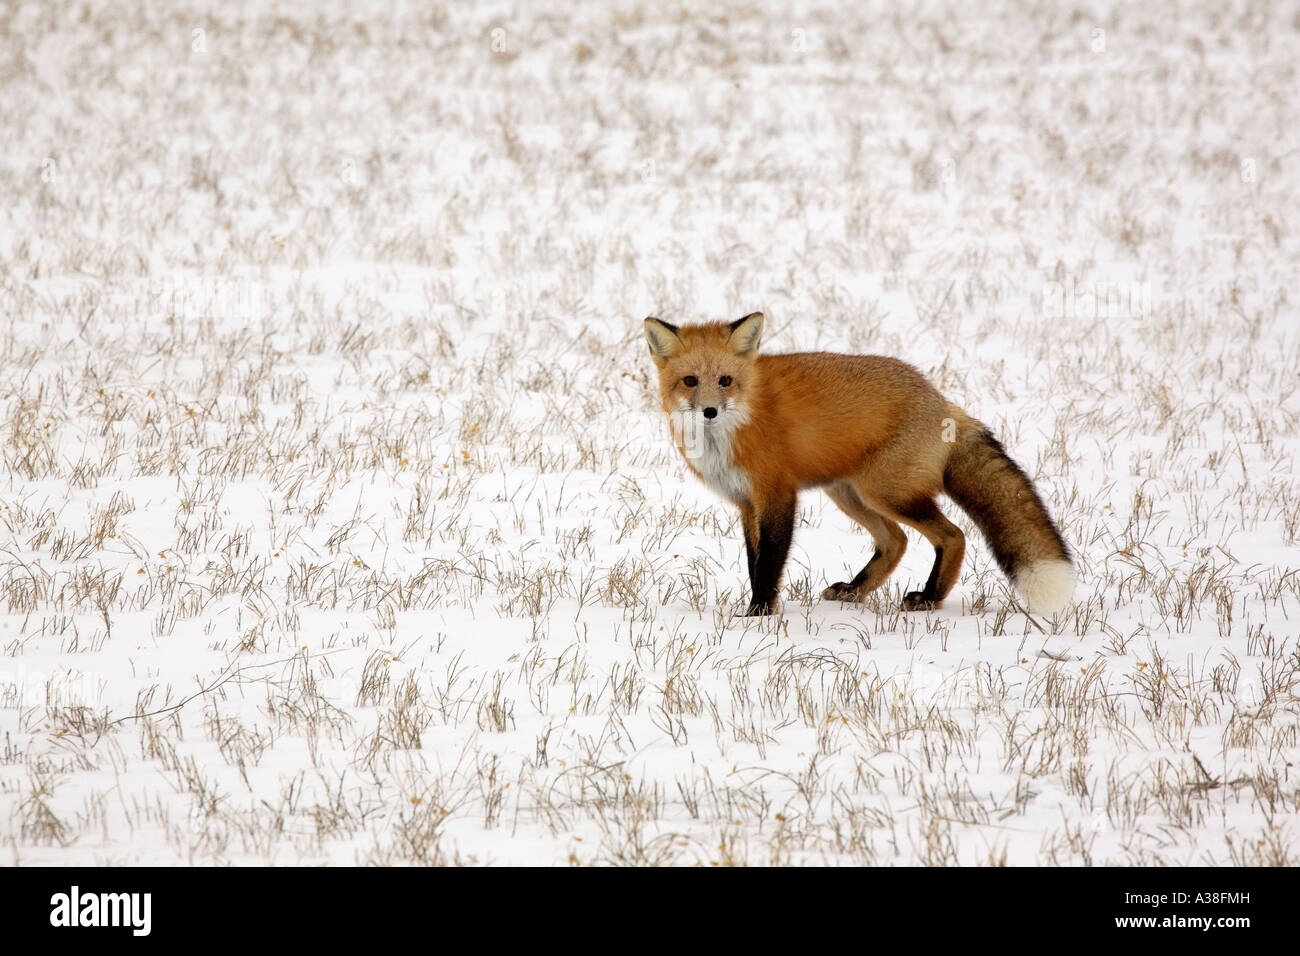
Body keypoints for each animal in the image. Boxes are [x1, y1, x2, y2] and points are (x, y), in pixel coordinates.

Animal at [643, 312, 1075, 617]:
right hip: (850, 494)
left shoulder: (777, 495)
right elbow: (754, 561)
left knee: (952, 535)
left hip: (886, 493)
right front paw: (759, 607)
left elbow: (769, 563)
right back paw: (855, 590)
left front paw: (757, 614)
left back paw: (929, 598)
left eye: (726, 380)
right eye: (690, 381)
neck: (733, 431)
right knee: (895, 541)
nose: (710, 411)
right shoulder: (747, 503)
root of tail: (940, 398)